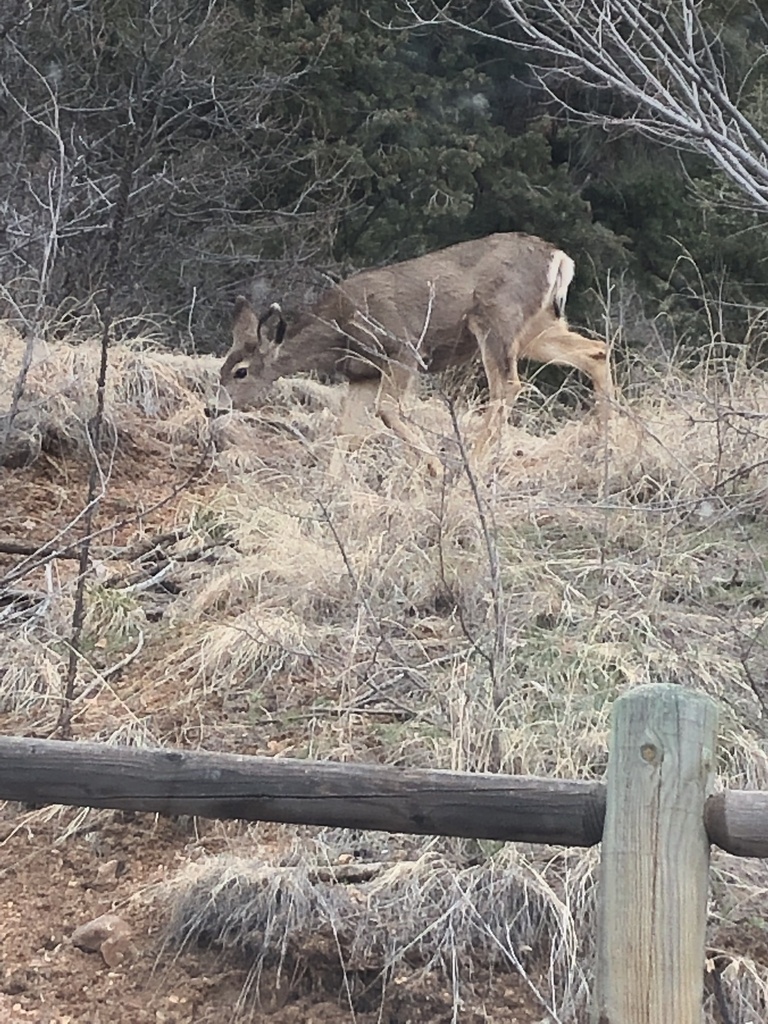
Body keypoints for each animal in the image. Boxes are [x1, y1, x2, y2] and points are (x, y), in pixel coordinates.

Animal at [215, 232, 614, 476]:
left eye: (241, 371)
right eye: (222, 368)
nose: (213, 408)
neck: (338, 331)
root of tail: (559, 257)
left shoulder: (403, 349)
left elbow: (388, 410)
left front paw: (434, 469)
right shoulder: (362, 373)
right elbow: (345, 429)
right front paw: (332, 485)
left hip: (496, 317)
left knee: (507, 385)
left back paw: (473, 465)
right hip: (537, 327)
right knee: (596, 351)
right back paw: (609, 438)